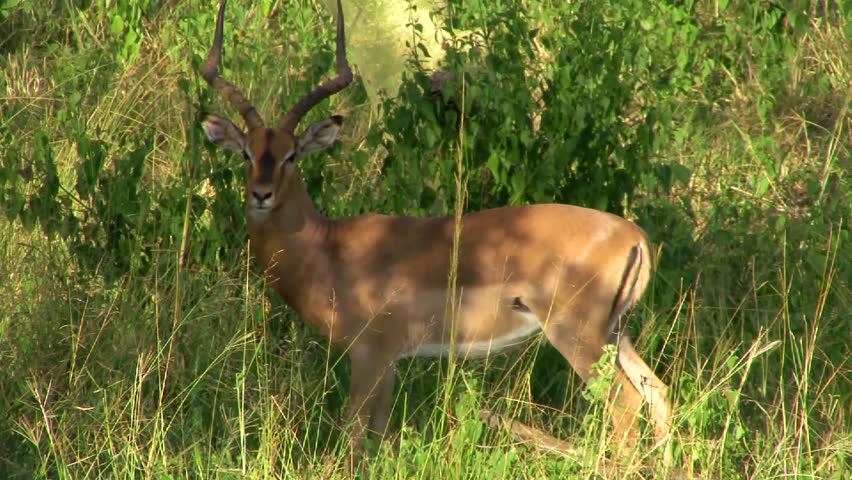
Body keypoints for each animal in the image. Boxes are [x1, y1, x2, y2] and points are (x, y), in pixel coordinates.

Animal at [199, 0, 672, 466]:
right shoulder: (389, 363)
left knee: (626, 406)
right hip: (615, 334)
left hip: (578, 336)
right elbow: (376, 439)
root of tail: (635, 237)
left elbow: (353, 438)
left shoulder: (370, 356)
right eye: (246, 153)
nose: (261, 195)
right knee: (658, 394)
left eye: (292, 155)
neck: (327, 249)